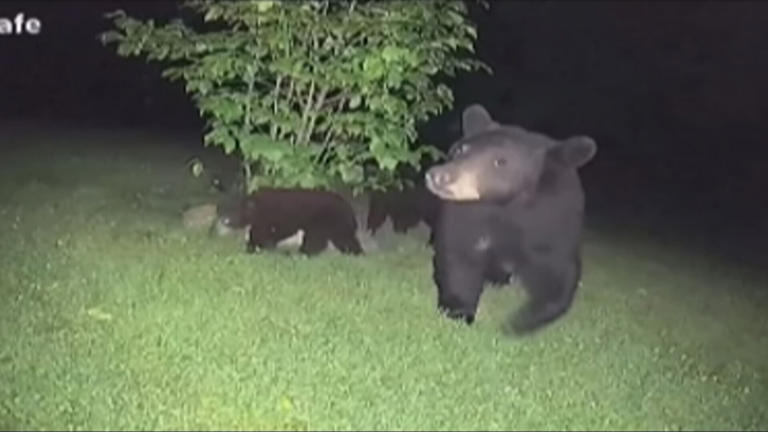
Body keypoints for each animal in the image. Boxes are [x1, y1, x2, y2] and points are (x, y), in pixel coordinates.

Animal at [217, 188, 364, 256]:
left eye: (233, 212)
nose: (224, 220)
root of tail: (351, 212)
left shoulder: (274, 217)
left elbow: (264, 233)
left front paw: (255, 246)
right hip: (337, 226)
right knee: (344, 240)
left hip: (325, 220)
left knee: (316, 239)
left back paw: (302, 252)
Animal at [425, 104, 597, 335]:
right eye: (462, 150)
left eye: (500, 161)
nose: (438, 176)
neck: (506, 210)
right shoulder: (467, 218)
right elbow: (459, 257)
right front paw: (459, 310)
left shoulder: (552, 225)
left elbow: (560, 274)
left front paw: (519, 322)